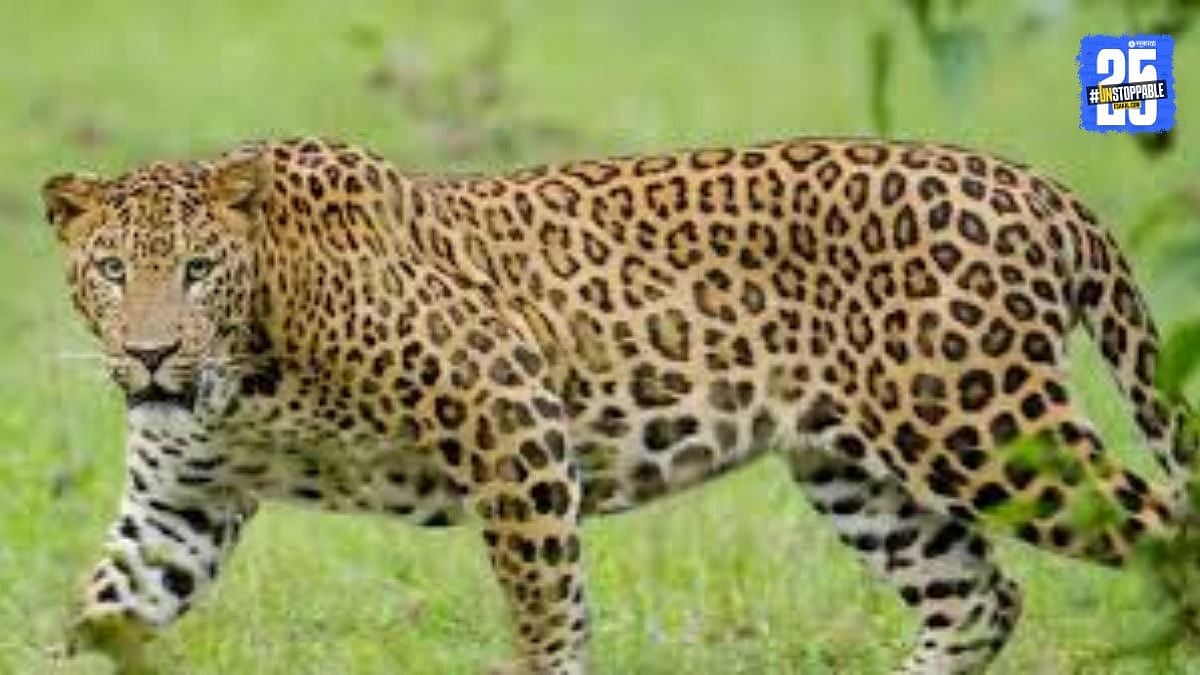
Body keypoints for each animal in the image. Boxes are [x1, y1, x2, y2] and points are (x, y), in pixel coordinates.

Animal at [41, 135, 1197, 674]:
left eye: (197, 271)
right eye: (111, 269)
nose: (150, 354)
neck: (247, 371)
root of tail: (1036, 185)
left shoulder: (511, 415)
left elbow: (547, 608)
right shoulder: (178, 511)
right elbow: (97, 614)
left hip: (987, 429)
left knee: (1166, 529)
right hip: (859, 470)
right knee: (977, 597)